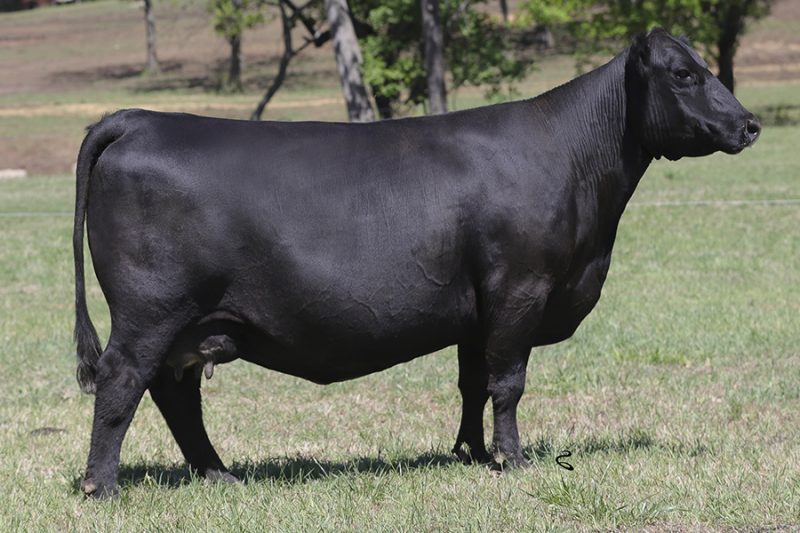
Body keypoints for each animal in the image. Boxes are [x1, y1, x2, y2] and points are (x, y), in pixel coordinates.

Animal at [73, 29, 760, 498]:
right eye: (683, 73)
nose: (750, 124)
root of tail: (139, 119)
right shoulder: (520, 288)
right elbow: (509, 382)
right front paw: (515, 460)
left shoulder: (478, 308)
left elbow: (473, 382)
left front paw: (472, 453)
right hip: (152, 309)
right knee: (122, 380)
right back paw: (101, 486)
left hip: (190, 324)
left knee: (174, 392)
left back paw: (219, 474)